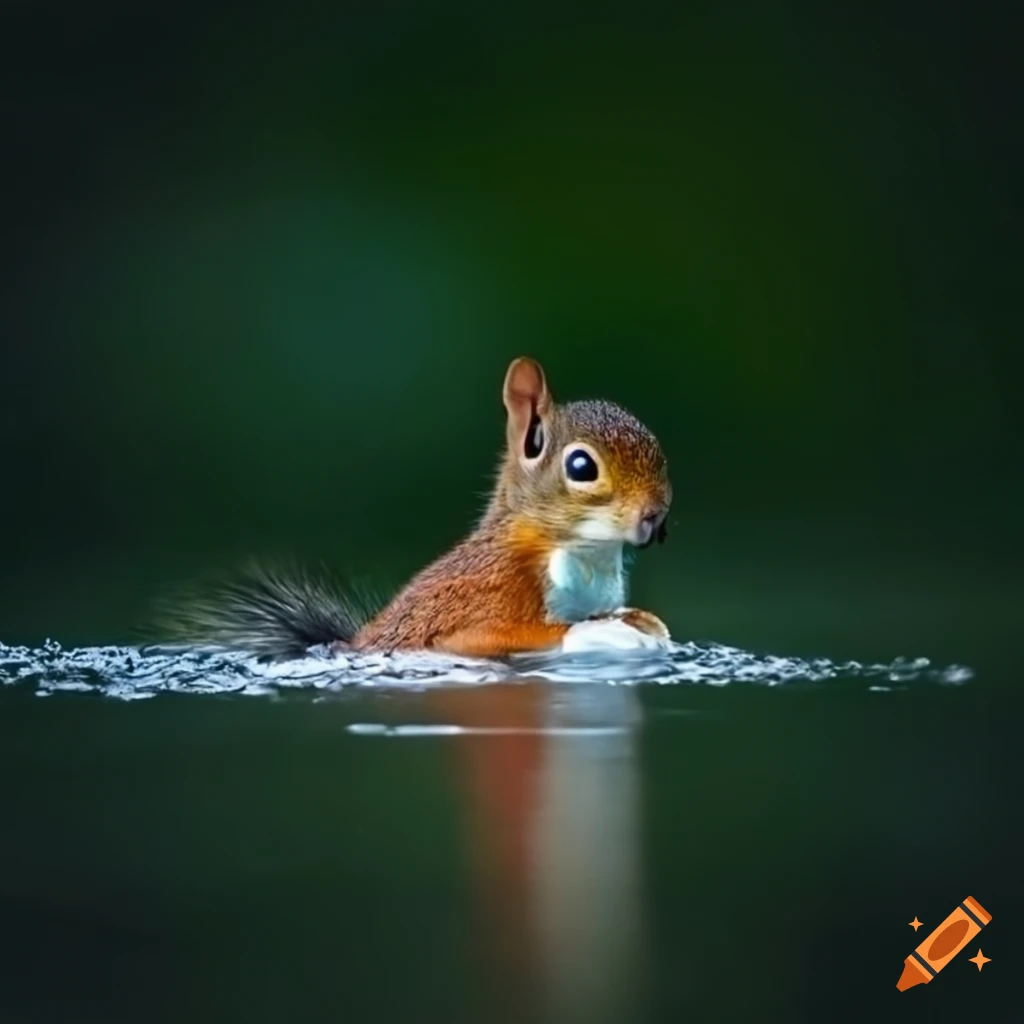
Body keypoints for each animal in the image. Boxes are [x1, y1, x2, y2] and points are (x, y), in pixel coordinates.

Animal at [163, 358, 672, 660]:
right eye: (581, 466)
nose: (656, 517)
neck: (584, 552)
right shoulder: (493, 595)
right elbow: (507, 636)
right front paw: (607, 630)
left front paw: (643, 621)